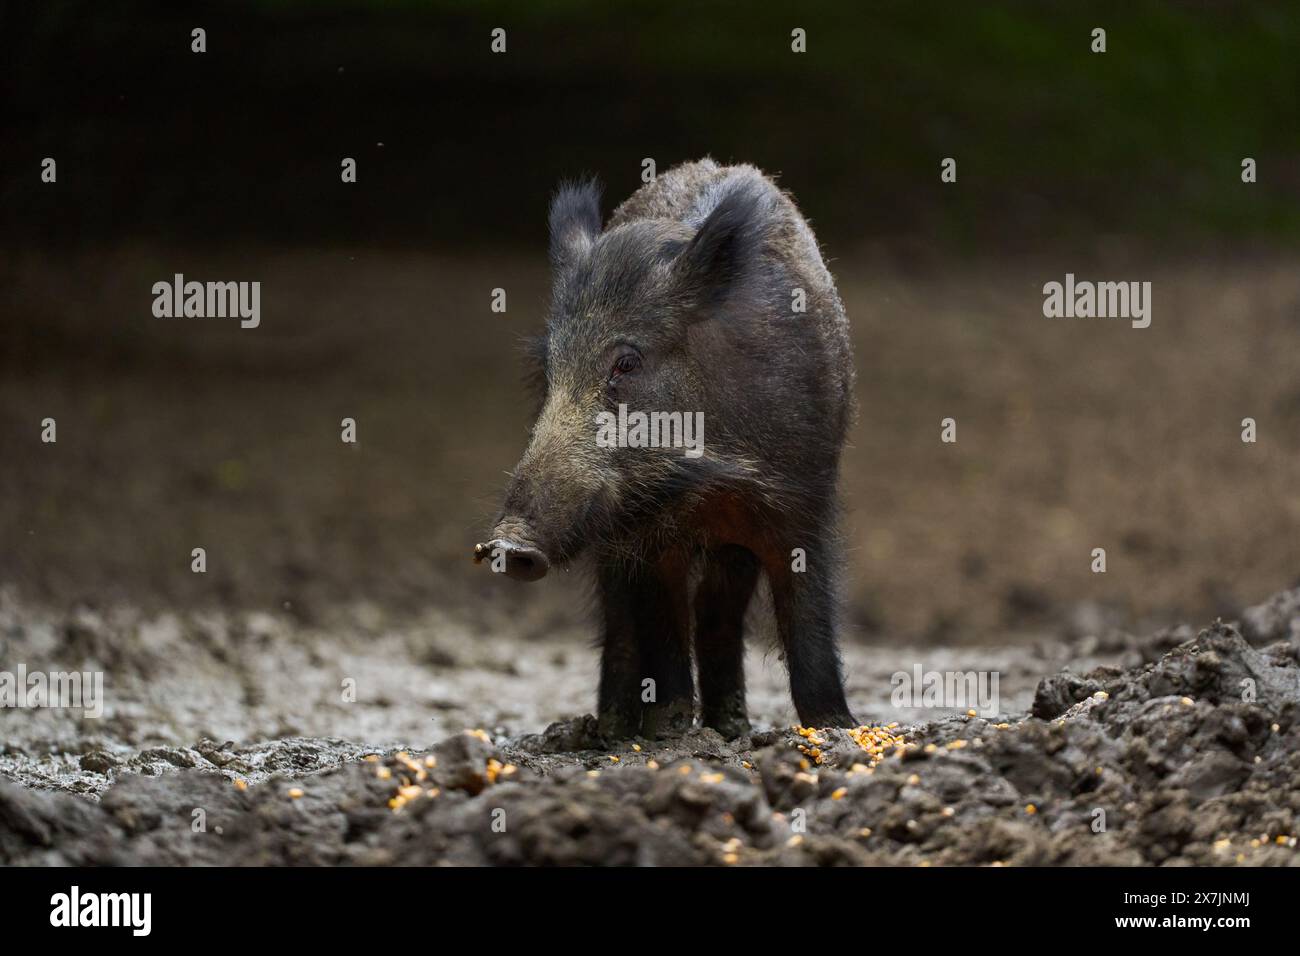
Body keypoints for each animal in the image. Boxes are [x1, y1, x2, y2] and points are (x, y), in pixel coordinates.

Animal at [474, 158, 857, 738]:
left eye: (626, 362)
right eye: (549, 369)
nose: (505, 545)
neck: (714, 478)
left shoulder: (804, 496)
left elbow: (808, 614)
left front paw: (837, 725)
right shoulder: (644, 534)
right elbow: (659, 618)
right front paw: (668, 729)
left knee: (717, 611)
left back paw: (732, 728)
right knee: (626, 621)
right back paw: (609, 730)